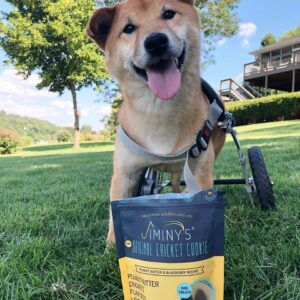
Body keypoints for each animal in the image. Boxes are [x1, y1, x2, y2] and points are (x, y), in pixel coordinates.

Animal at [86, 0, 225, 244]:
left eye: (168, 14)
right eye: (129, 28)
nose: (156, 41)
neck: (160, 110)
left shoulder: (200, 170)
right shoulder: (125, 173)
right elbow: (115, 210)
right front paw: (111, 246)